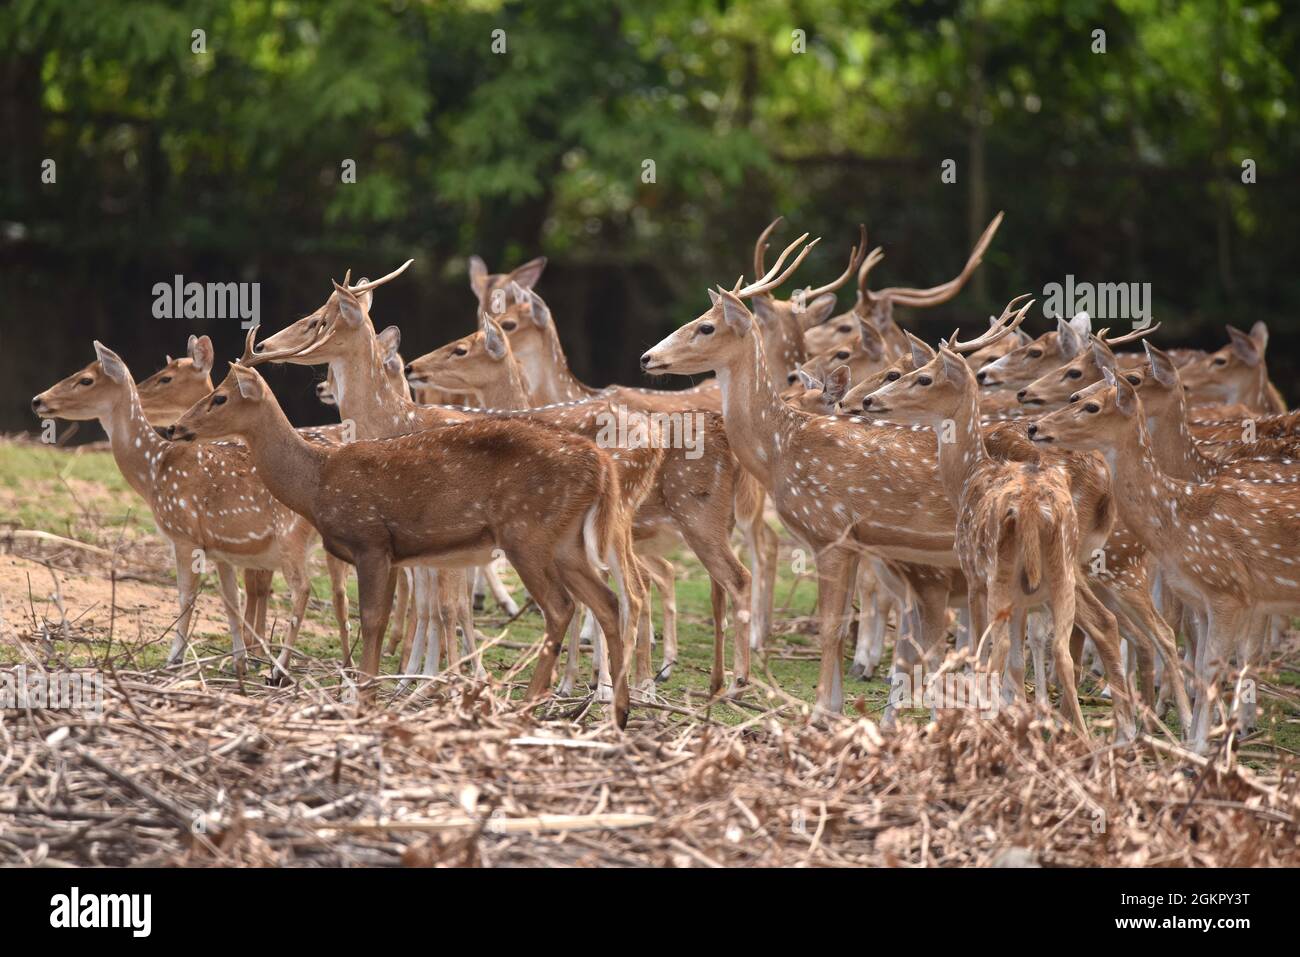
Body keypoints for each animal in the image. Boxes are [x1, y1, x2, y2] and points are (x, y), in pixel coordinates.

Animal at [32, 342, 338, 680]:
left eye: (85, 379)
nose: (38, 400)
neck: (153, 471)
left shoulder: (184, 535)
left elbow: (186, 597)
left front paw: (174, 658)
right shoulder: (222, 550)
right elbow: (231, 601)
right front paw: (238, 662)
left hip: (289, 536)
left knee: (304, 589)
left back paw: (280, 670)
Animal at [170, 330, 641, 726]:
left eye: (219, 397)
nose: (175, 426)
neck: (316, 482)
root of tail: (601, 465)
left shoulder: (370, 539)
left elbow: (372, 619)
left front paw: (365, 695)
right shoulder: (391, 554)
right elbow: (382, 619)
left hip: (528, 530)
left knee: (561, 608)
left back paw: (528, 706)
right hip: (566, 541)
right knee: (609, 603)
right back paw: (618, 712)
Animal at [1028, 368, 1300, 752]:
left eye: (1092, 406)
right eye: (1074, 397)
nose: (1034, 426)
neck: (1179, 515)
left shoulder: (1229, 591)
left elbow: (1211, 665)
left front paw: (1198, 746)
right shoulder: (1205, 596)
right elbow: (1200, 659)